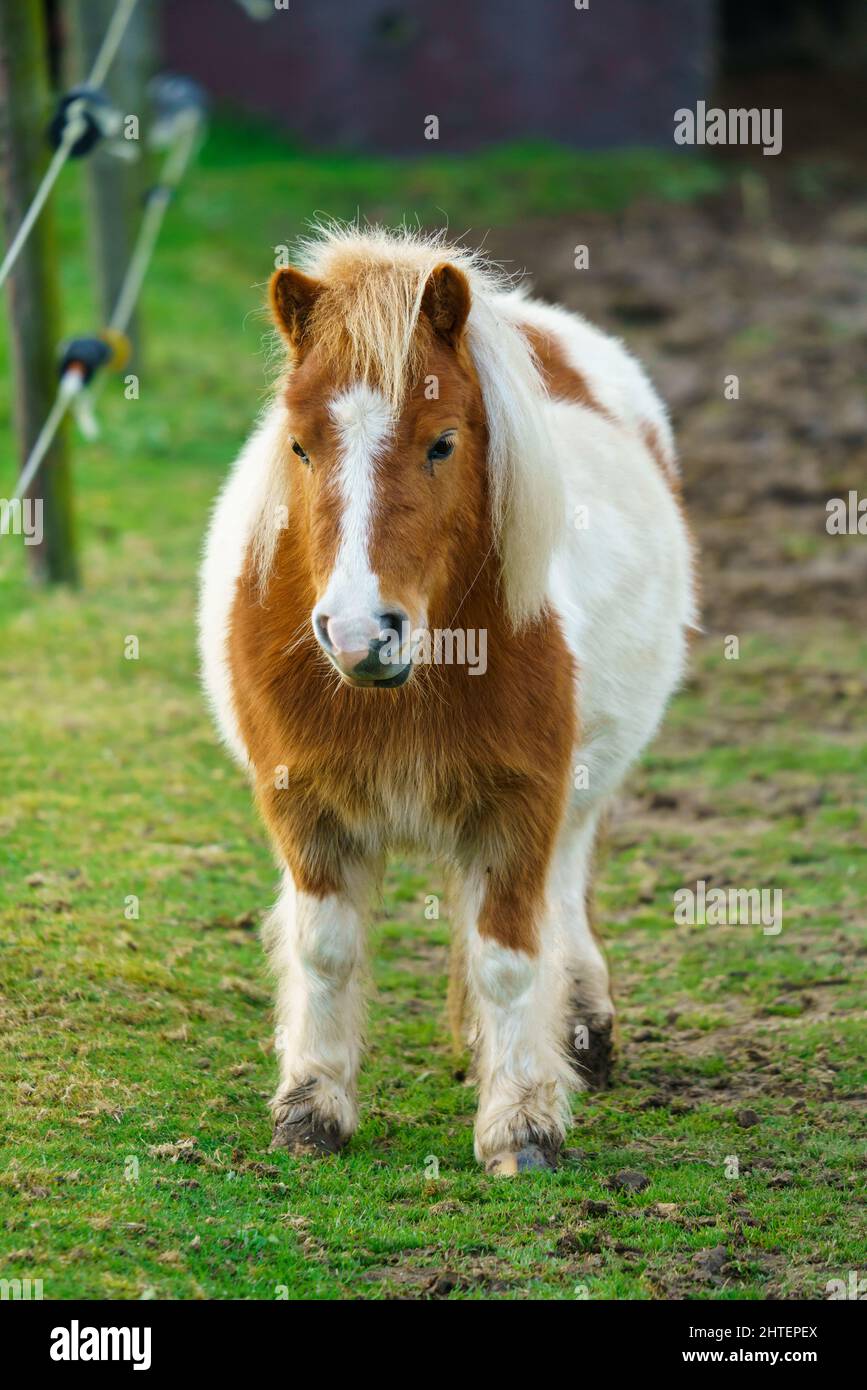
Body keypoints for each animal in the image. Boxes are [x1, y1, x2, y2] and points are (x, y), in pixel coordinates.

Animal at [198, 224, 696, 1175]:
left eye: (442, 443)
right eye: (300, 446)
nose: (361, 634)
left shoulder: (522, 805)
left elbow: (509, 956)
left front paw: (521, 1125)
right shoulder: (304, 808)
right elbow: (325, 949)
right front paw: (310, 1110)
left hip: (580, 791)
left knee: (561, 894)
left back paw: (577, 1029)